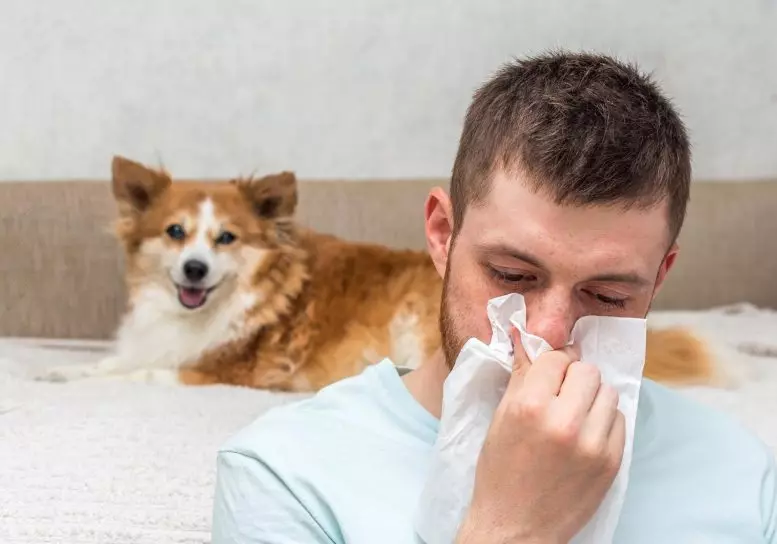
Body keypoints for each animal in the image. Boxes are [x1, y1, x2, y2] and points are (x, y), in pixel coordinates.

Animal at [42, 155, 720, 388]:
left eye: (227, 238)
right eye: (175, 232)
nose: (194, 268)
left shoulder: (229, 367)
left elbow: (150, 371)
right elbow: (112, 362)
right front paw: (63, 370)